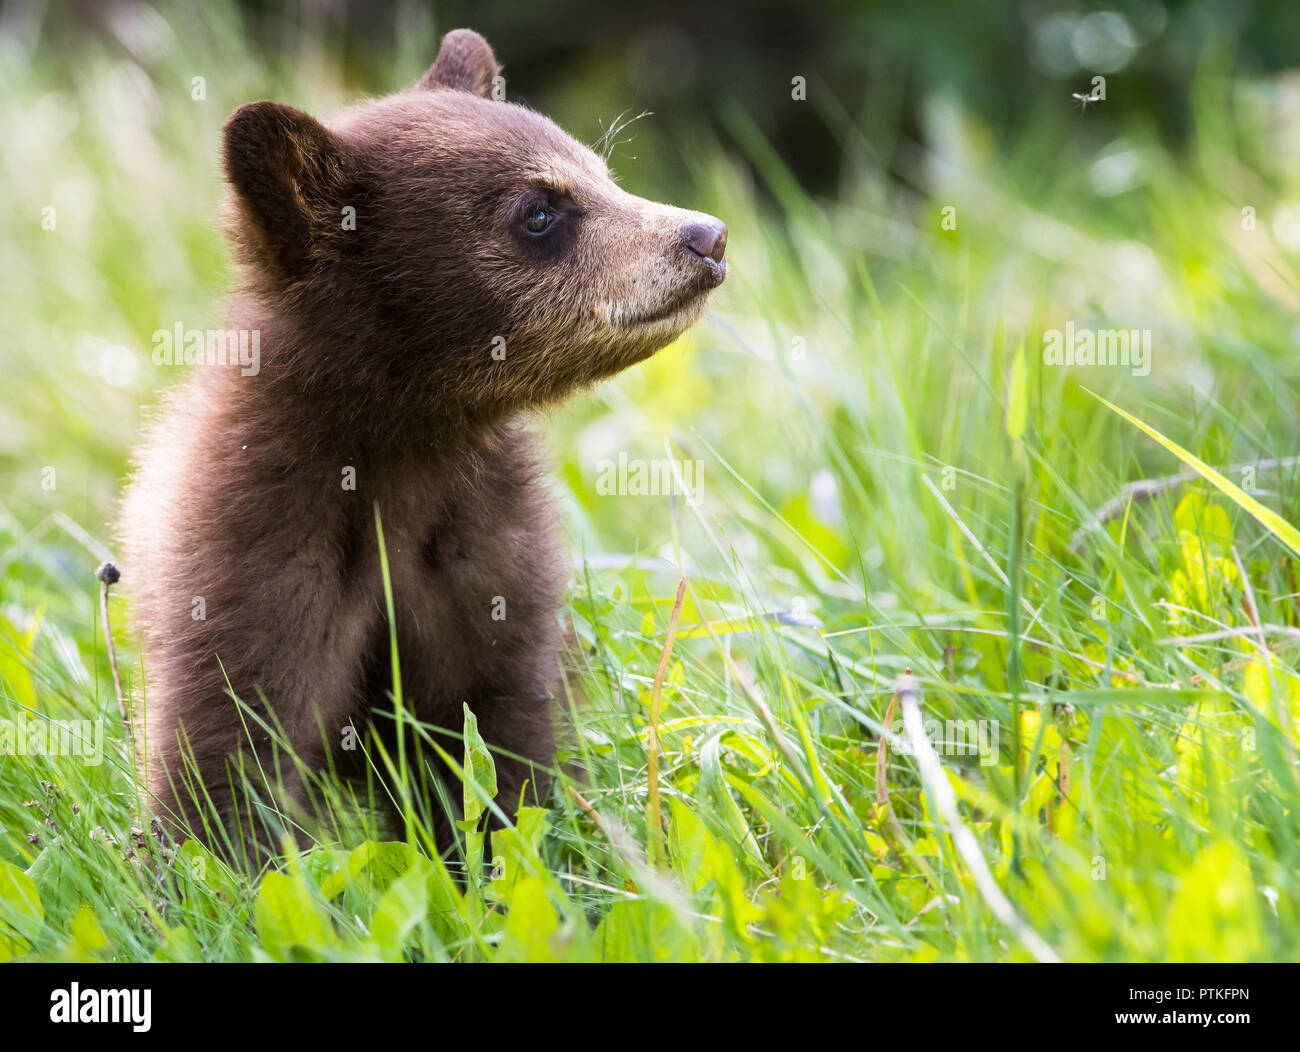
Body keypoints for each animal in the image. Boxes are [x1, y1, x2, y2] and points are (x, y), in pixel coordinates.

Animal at [120, 28, 727, 865]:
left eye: (603, 173)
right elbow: (233, 738)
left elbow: (500, 729)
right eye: (540, 211)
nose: (707, 236)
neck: (407, 450)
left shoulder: (483, 547)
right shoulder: (256, 538)